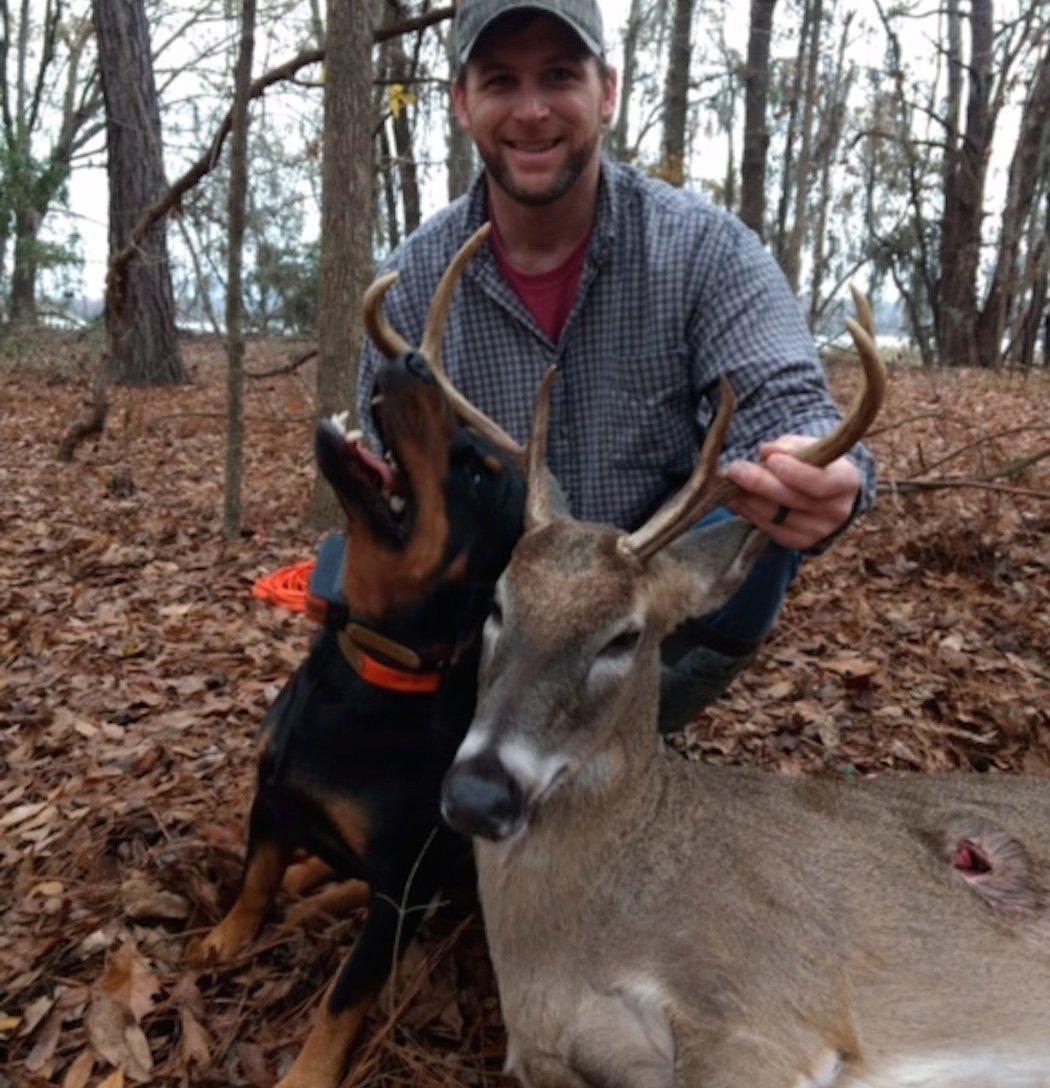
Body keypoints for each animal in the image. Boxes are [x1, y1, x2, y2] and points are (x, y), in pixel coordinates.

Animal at [188, 225, 524, 1083]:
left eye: (479, 472)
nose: (412, 365)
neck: (368, 668)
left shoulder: (401, 887)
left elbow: (344, 997)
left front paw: (307, 1074)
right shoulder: (272, 795)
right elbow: (255, 877)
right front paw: (227, 937)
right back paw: (308, 888)